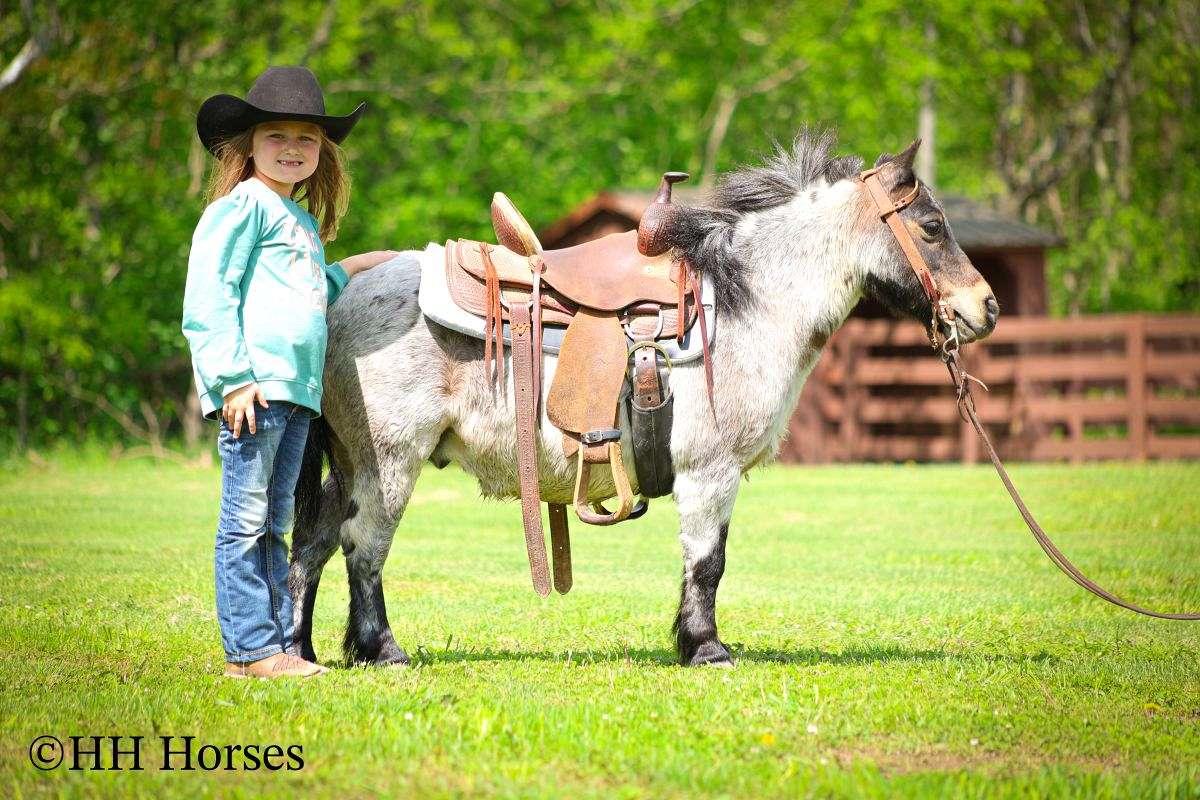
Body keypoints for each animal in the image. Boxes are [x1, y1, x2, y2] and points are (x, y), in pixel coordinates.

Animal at [288, 128, 998, 667]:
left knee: (310, 545)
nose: (985, 308)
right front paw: (706, 648)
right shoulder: (710, 471)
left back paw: (301, 652)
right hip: (388, 464)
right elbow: (707, 561)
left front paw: (693, 642)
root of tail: (345, 284)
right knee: (363, 545)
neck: (748, 303)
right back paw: (380, 650)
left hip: (349, 465)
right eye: (931, 226)